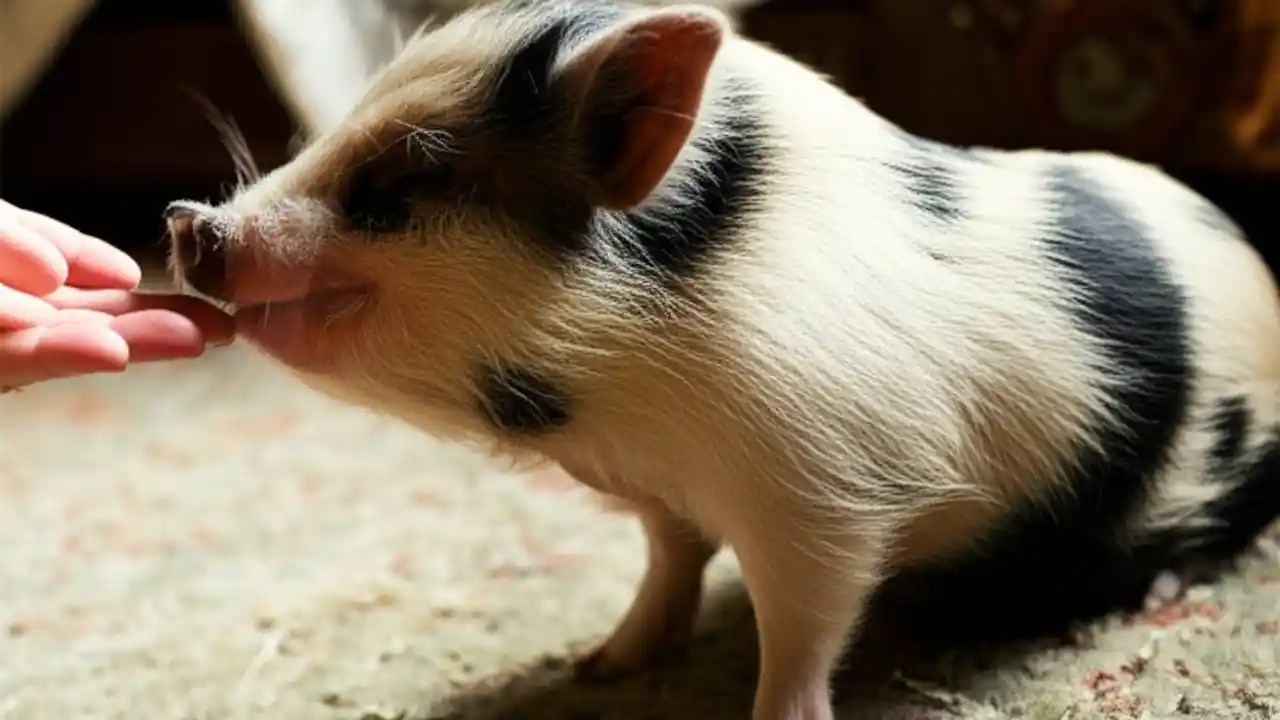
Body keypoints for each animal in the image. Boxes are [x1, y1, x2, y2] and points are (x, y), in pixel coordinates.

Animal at [164, 1, 1280, 718]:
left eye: (404, 183)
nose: (186, 223)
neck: (631, 410)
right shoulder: (671, 496)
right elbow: (669, 562)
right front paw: (601, 667)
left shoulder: (824, 498)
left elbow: (803, 627)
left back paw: (1154, 595)